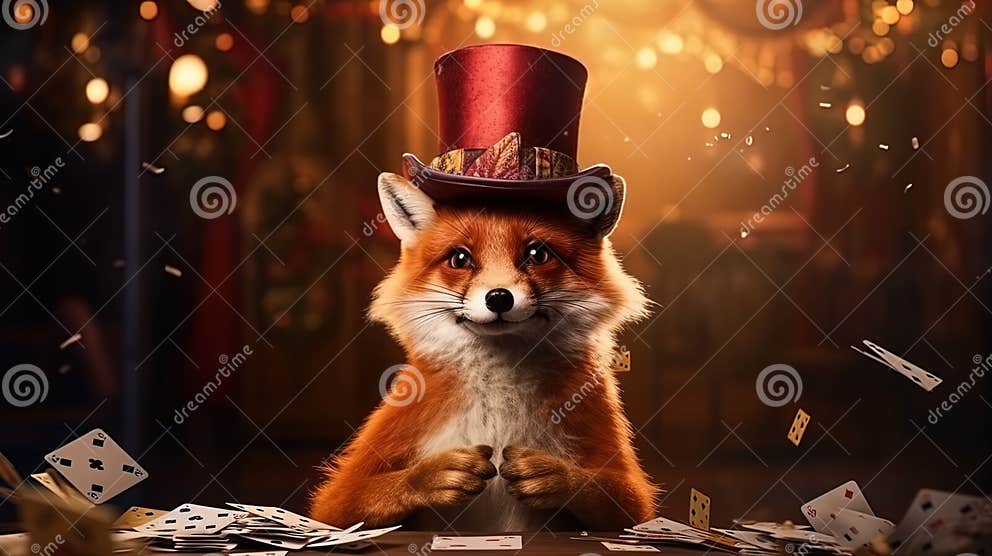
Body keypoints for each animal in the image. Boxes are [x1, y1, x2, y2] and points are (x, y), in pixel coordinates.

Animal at [309, 171, 658, 532]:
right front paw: (429, 476)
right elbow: (353, 498)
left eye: (538, 254)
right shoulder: (338, 498)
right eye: (460, 258)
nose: (499, 297)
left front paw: (559, 476)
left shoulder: (630, 495)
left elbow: (605, 490)